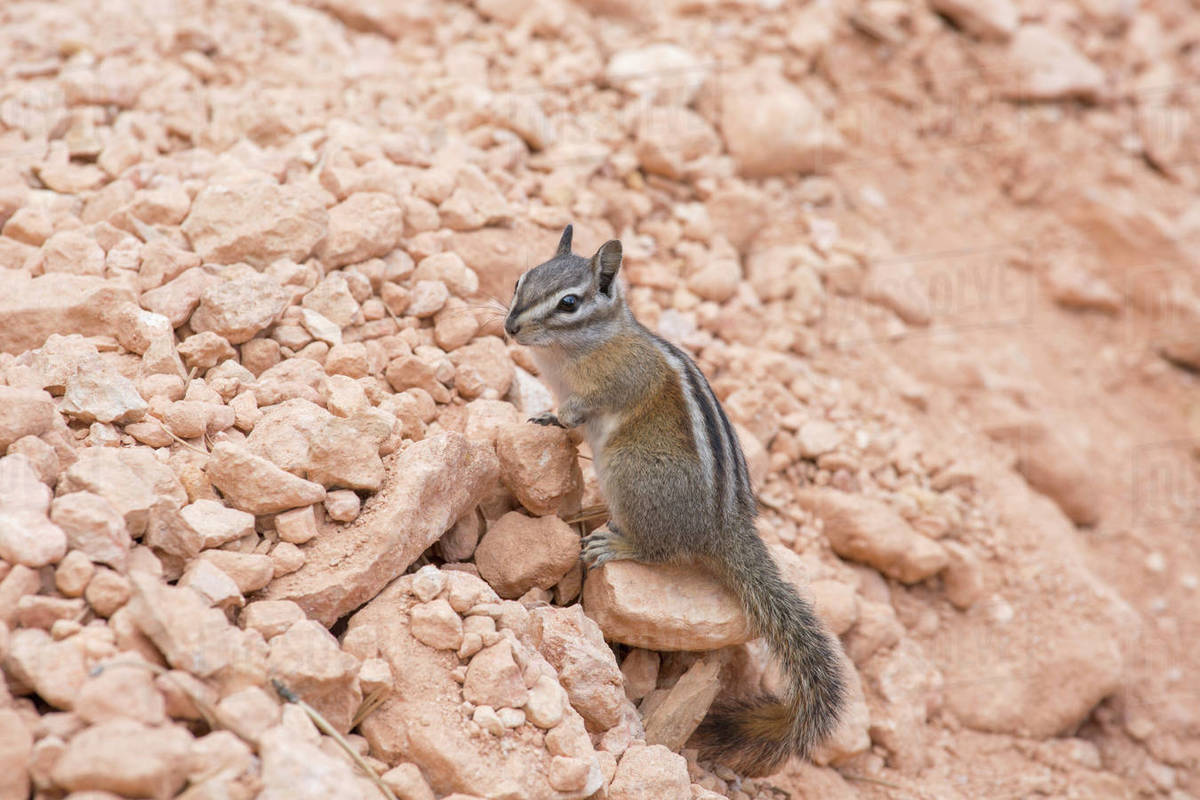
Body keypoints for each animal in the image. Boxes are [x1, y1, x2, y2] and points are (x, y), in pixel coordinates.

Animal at [503, 225, 846, 776]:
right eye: (521, 280)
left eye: (569, 303)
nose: (511, 328)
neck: (576, 348)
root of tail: (724, 527)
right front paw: (548, 418)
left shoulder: (620, 380)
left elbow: (590, 404)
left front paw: (561, 416)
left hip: (628, 469)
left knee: (660, 549)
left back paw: (615, 544)